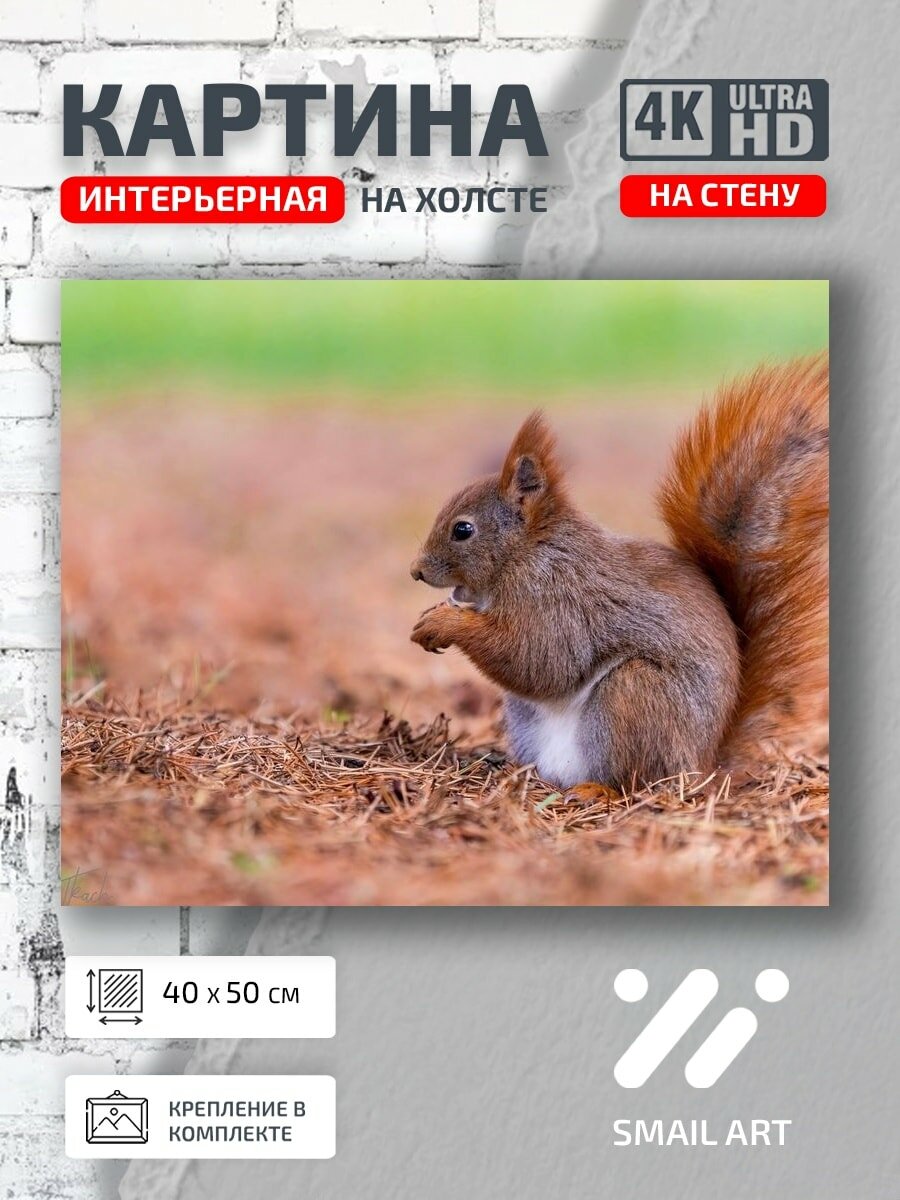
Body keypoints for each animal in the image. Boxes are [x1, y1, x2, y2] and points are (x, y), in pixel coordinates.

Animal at [409, 355, 828, 791]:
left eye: (463, 530)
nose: (415, 571)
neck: (527, 551)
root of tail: (702, 768)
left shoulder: (559, 596)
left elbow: (541, 659)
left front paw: (443, 623)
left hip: (634, 694)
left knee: (633, 779)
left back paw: (597, 791)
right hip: (527, 716)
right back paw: (519, 773)